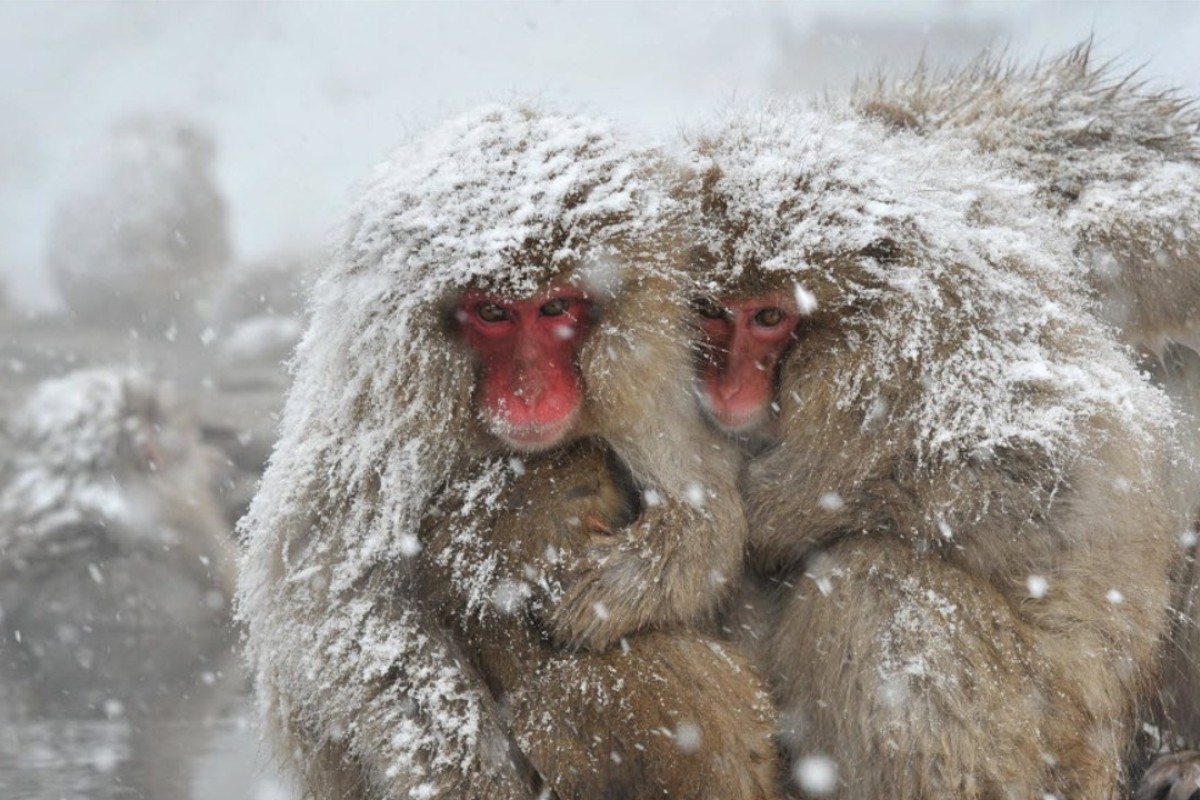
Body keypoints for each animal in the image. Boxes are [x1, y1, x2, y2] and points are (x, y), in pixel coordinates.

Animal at [236, 105, 763, 799]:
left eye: (555, 307)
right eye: (492, 313)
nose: (530, 390)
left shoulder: (647, 375)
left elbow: (706, 513)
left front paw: (613, 585)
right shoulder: (390, 393)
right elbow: (342, 596)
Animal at [681, 101, 1185, 799]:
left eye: (768, 318)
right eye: (710, 310)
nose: (727, 385)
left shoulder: (925, 364)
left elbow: (1038, 479)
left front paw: (780, 513)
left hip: (1048, 738)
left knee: (874, 583)